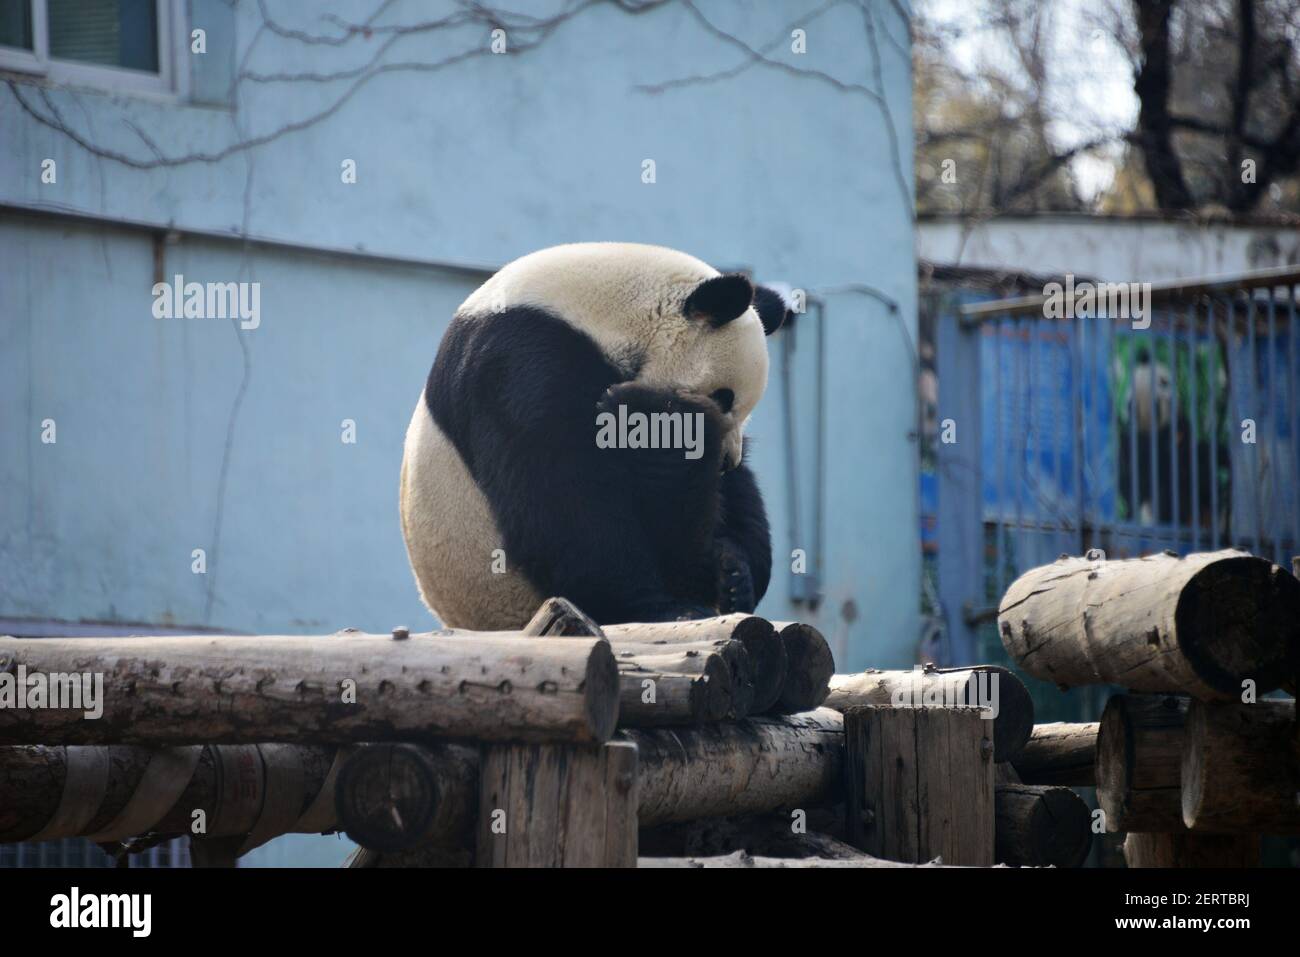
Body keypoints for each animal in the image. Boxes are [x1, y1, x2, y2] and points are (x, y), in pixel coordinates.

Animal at [399, 242, 789, 630]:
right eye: (725, 396)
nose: (727, 462)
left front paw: (735, 571)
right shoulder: (521, 360)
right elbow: (560, 490)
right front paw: (660, 606)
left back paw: (730, 574)